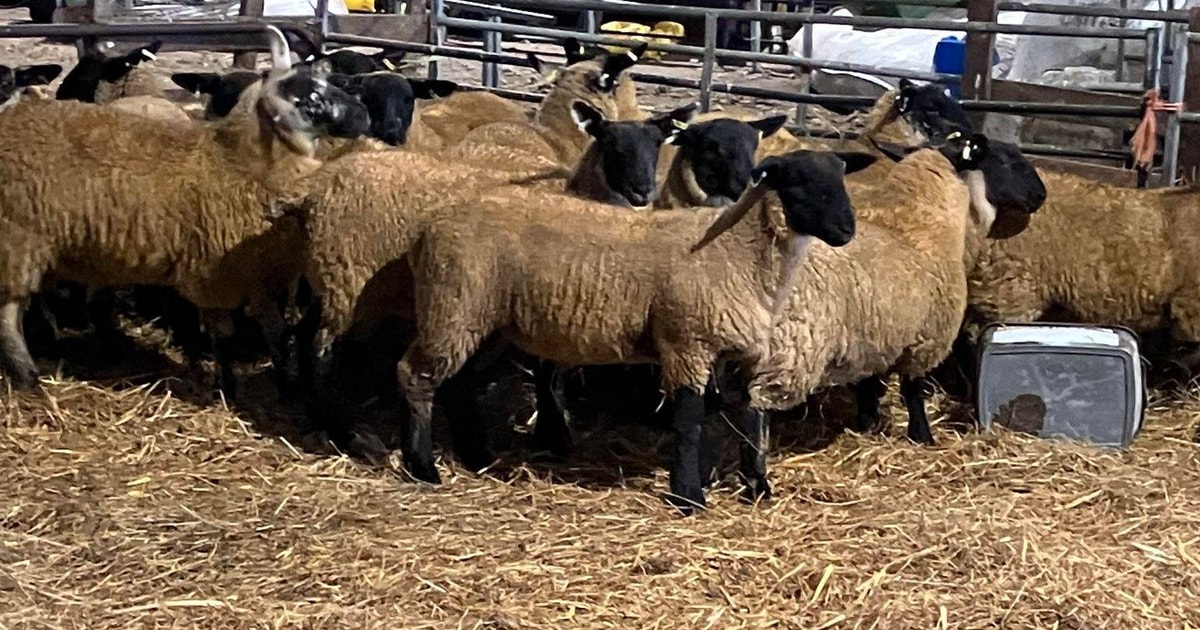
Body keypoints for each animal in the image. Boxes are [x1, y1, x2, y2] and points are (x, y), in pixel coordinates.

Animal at [0, 66, 371, 398]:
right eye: (311, 100)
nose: (365, 116)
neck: (238, 160)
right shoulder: (217, 275)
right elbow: (225, 338)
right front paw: (228, 389)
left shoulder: (262, 276)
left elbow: (277, 333)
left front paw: (287, 386)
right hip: (18, 242)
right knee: (7, 320)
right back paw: (30, 380)